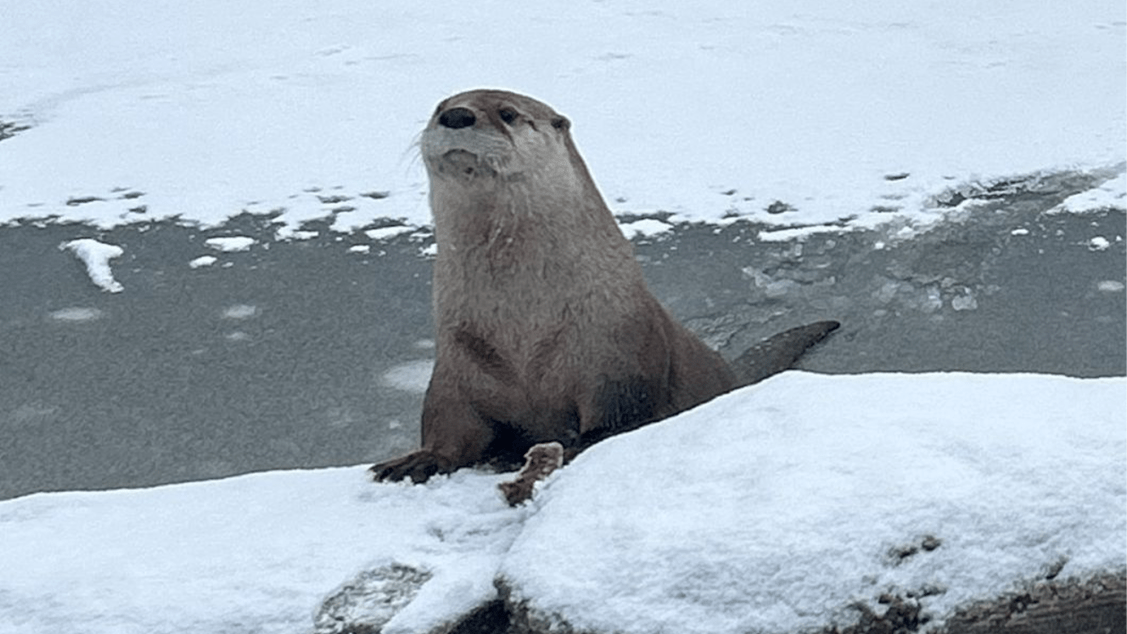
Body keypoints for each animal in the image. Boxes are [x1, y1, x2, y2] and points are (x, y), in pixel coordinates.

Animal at [371, 89, 837, 484]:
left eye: (507, 113)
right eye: (439, 106)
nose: (457, 115)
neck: (524, 327)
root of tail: (733, 375)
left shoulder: (617, 356)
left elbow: (618, 422)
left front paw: (571, 447)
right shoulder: (458, 357)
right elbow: (450, 425)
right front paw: (415, 460)